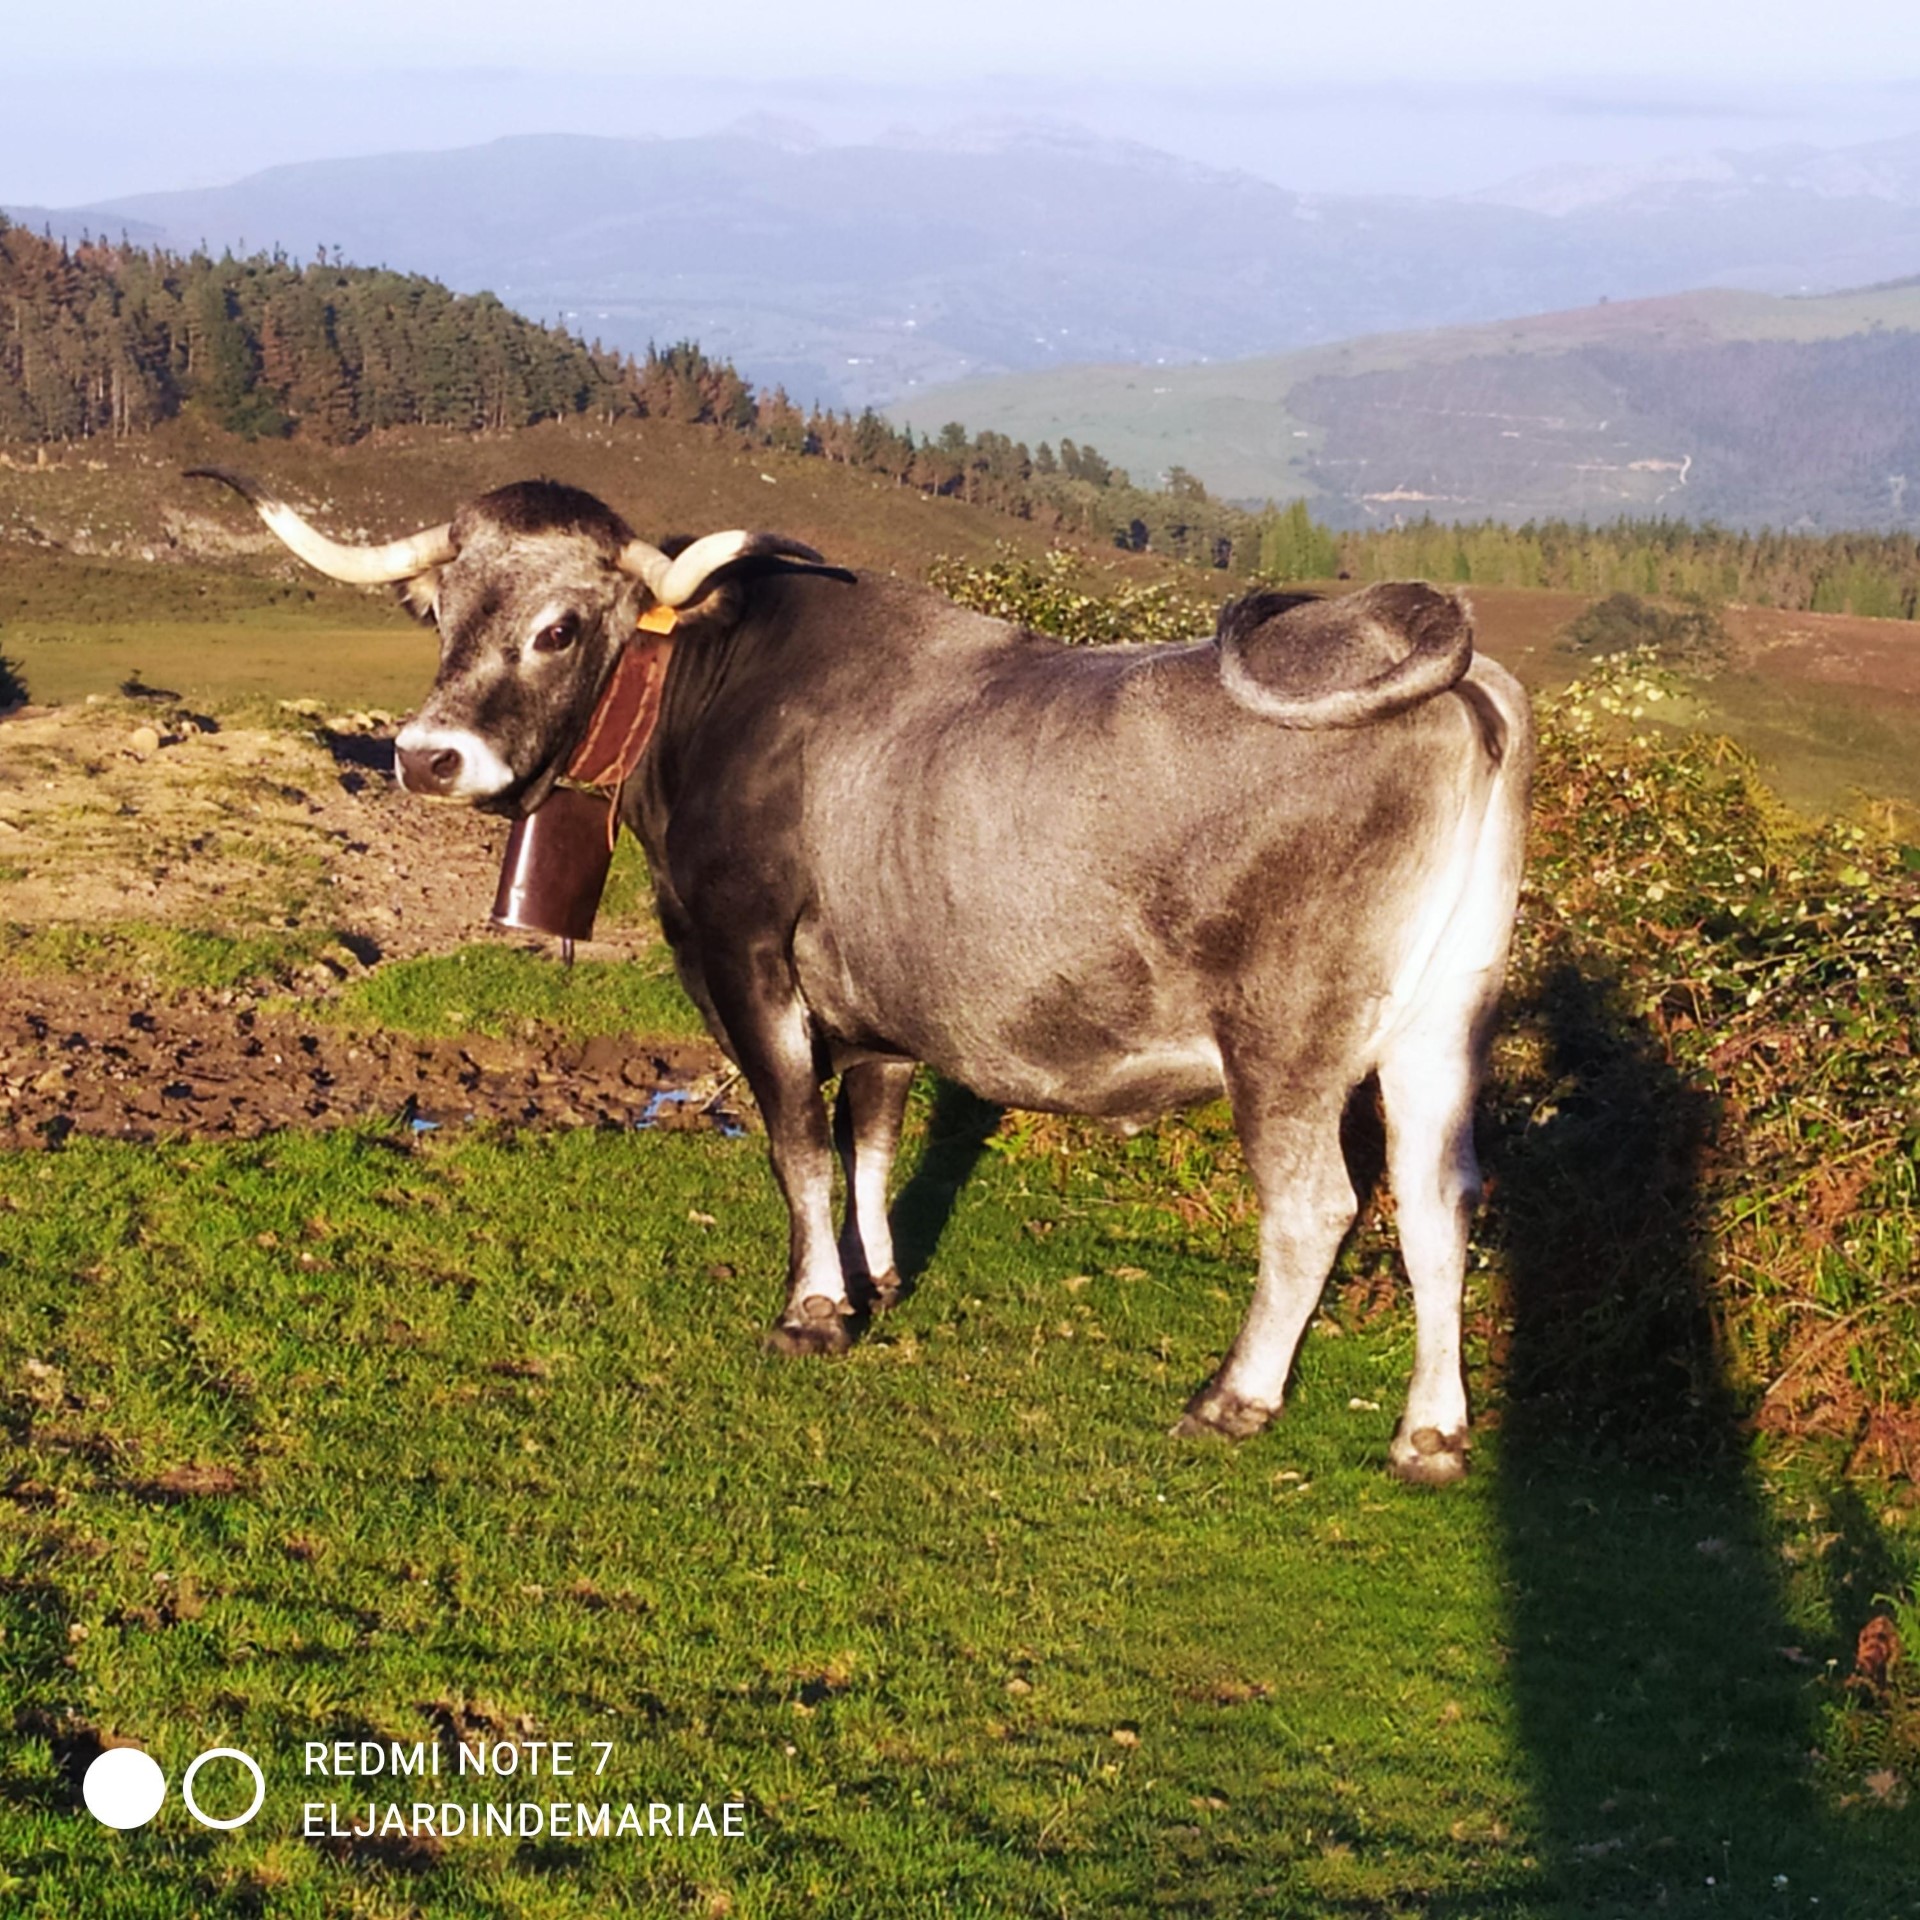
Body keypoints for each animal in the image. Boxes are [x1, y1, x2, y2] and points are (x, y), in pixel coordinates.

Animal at [190, 468, 1532, 1483]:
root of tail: (1468, 683)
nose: (427, 756)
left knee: (1317, 1208)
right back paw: (1430, 1432)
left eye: (561, 626)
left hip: (1285, 1041)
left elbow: (796, 1138)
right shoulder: (883, 1001)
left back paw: (1235, 1398)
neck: (711, 697)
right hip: (1441, 1025)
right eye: (440, 612)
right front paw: (879, 1276)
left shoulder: (745, 958)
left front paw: (815, 1308)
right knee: (1439, 1200)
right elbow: (874, 1137)